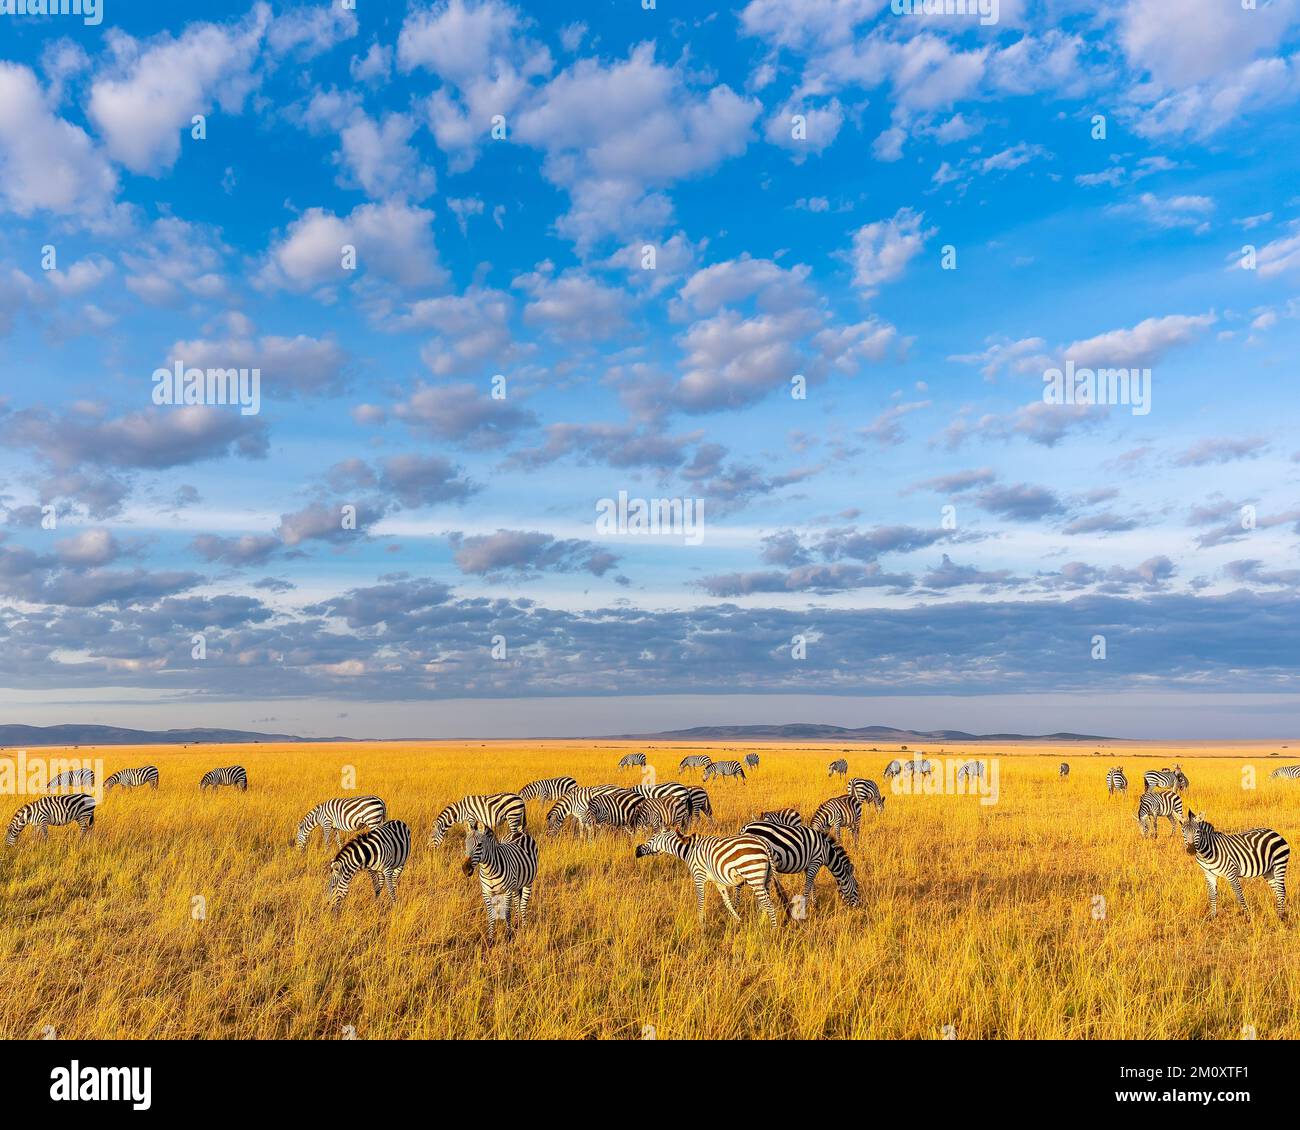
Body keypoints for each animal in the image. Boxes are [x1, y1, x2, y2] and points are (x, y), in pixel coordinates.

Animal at [635, 829, 778, 926]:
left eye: (652, 838)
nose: (637, 850)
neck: (688, 851)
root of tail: (763, 843)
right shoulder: (718, 881)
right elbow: (727, 902)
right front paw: (738, 920)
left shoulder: (698, 877)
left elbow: (701, 901)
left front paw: (701, 924)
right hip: (766, 879)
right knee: (765, 904)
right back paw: (760, 925)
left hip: (754, 876)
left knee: (769, 905)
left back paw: (773, 930)